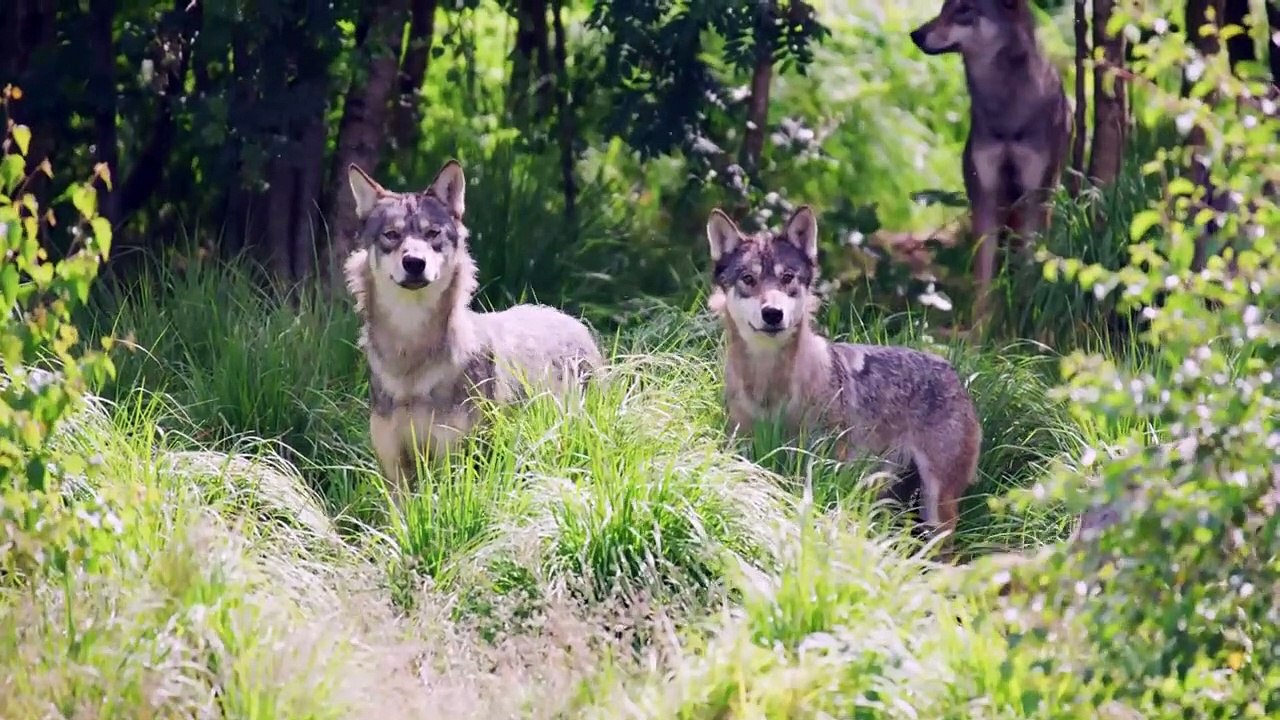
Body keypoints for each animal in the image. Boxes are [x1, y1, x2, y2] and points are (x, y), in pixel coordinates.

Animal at [343, 159, 603, 501]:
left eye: (432, 233)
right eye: (392, 235)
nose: (414, 262)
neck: (410, 362)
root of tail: (573, 322)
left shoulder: (452, 461)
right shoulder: (395, 471)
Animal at [706, 205, 983, 553]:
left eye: (787, 278)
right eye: (748, 279)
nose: (772, 314)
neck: (771, 391)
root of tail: (953, 373)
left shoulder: (821, 470)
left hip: (935, 507)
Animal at [910, 0, 1071, 323]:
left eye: (964, 10)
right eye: (943, 8)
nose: (916, 35)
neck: (1005, 109)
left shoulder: (1034, 199)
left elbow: (1028, 270)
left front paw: (1022, 321)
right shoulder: (984, 197)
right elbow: (983, 281)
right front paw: (981, 331)